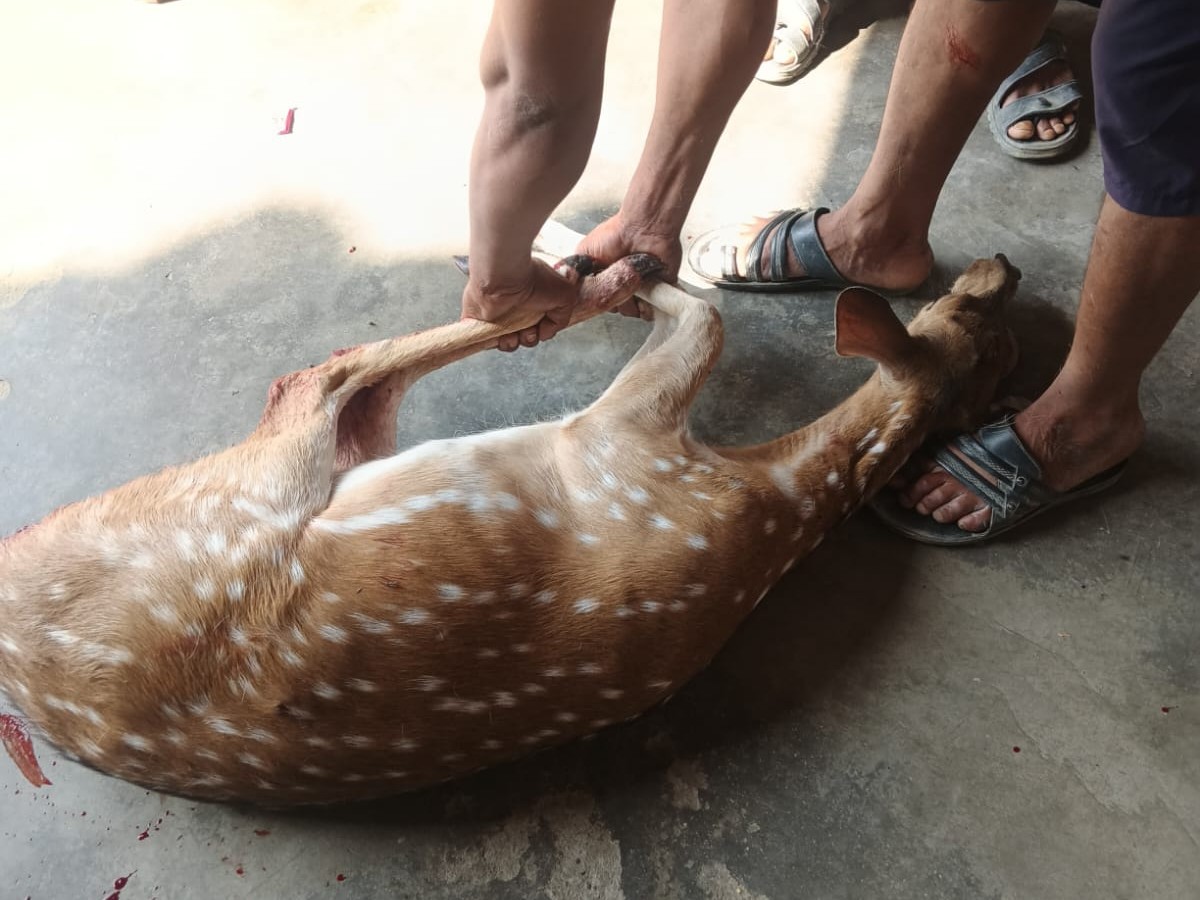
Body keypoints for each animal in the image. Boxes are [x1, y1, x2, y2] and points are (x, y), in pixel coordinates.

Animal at [0, 221, 1020, 806]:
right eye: (979, 324)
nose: (1002, 267)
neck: (773, 504)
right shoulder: (628, 445)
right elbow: (706, 318)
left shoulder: (620, 441)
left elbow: (707, 319)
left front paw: (621, 265)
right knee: (351, 382)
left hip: (239, 494)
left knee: (324, 378)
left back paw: (573, 270)